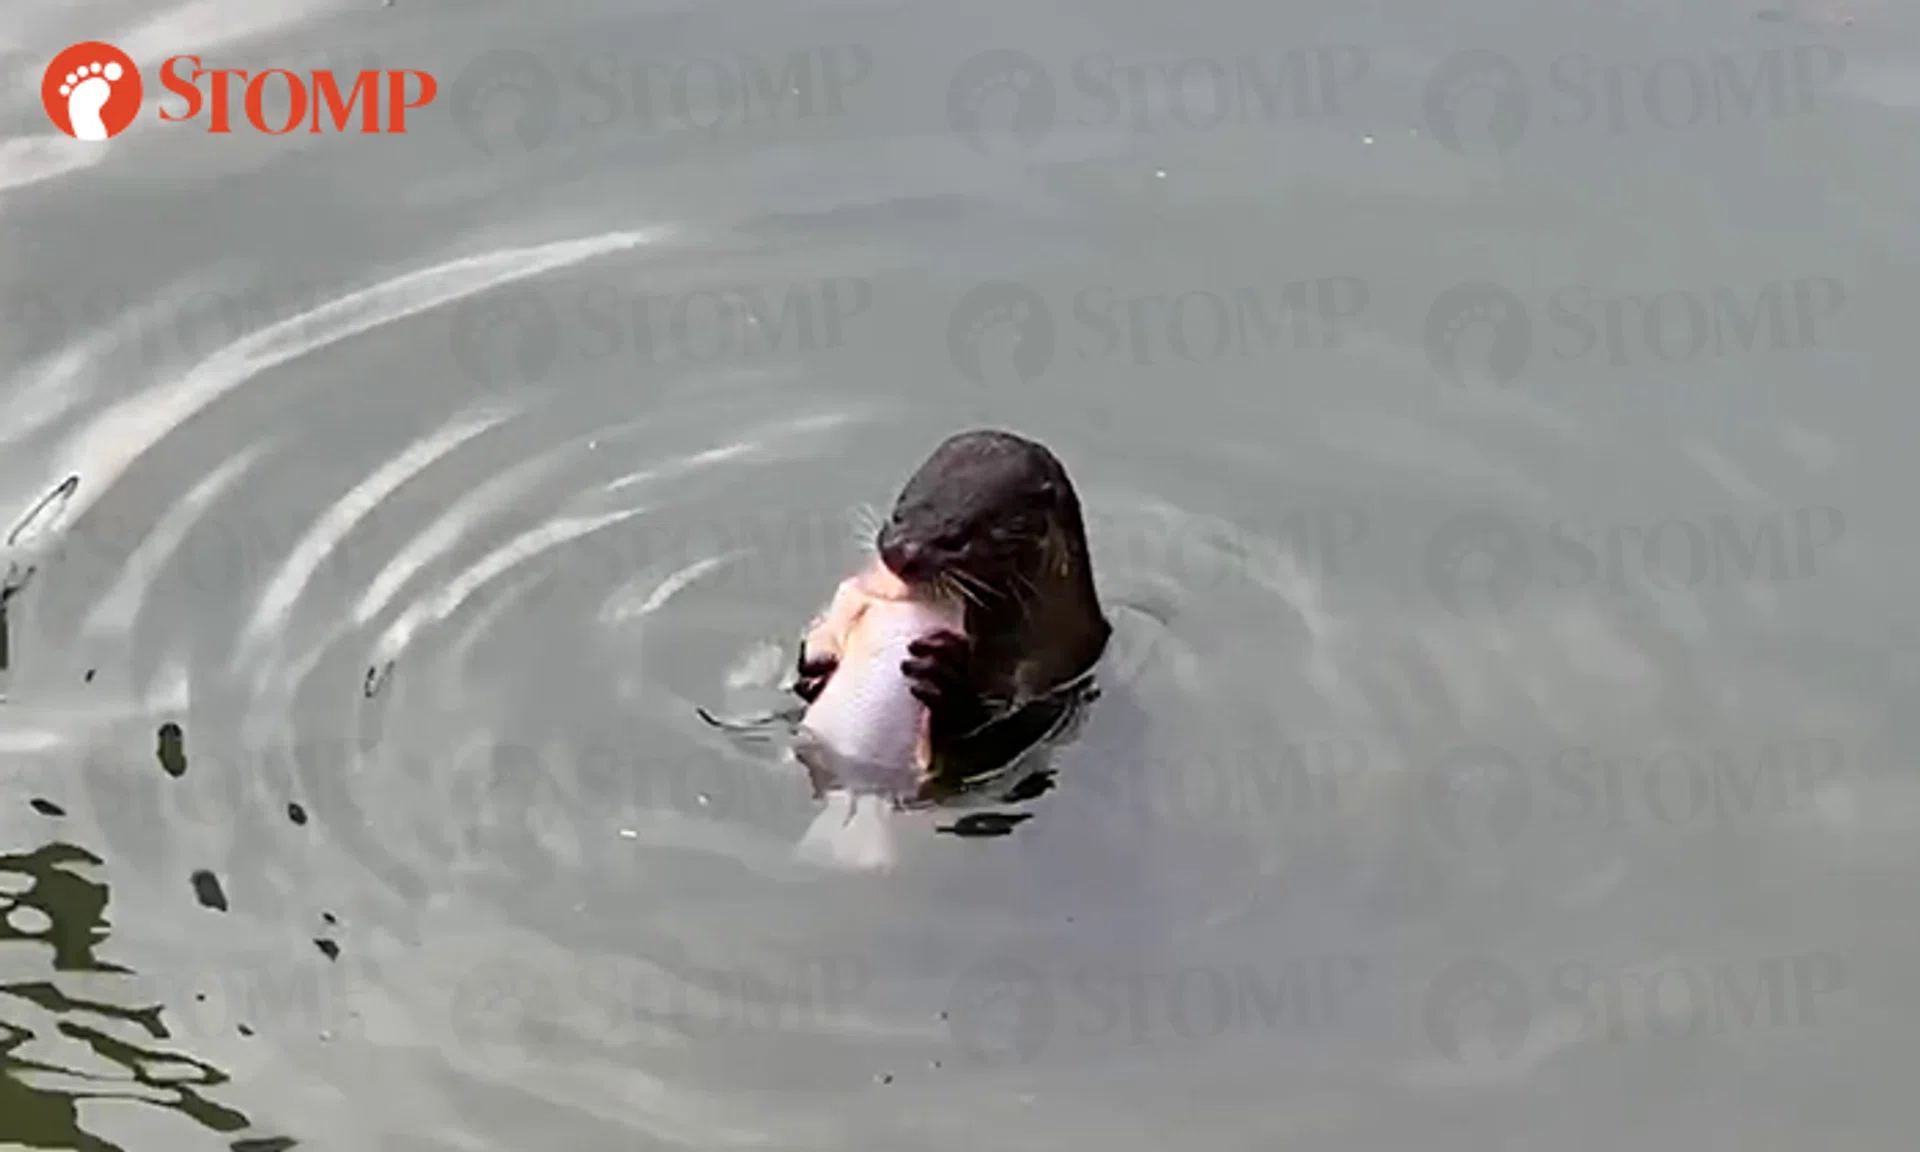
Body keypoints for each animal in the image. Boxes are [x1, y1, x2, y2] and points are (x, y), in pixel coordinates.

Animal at [793, 429, 1111, 794]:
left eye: (956, 538)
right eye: (899, 512)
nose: (899, 551)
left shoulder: (1044, 687)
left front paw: (944, 675)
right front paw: (814, 671)